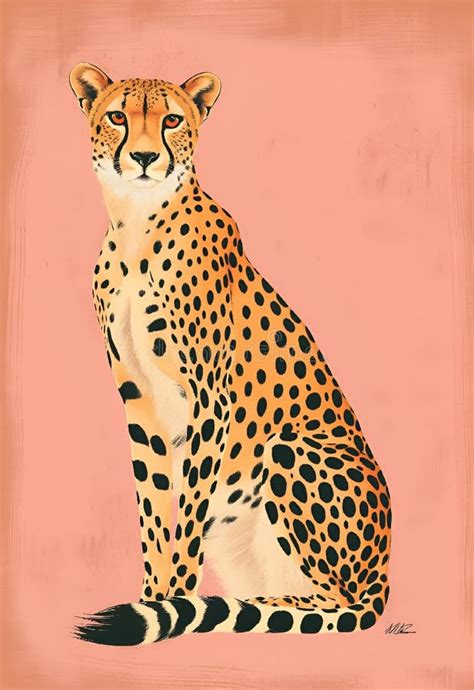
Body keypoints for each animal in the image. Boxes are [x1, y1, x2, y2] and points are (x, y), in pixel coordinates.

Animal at [69, 63, 392, 645]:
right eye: (118, 116)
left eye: (173, 119)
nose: (145, 158)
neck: (136, 224)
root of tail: (383, 572)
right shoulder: (139, 397)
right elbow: (154, 505)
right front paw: (154, 596)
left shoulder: (209, 404)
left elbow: (187, 512)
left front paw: (173, 602)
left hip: (291, 446)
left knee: (335, 602)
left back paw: (253, 606)